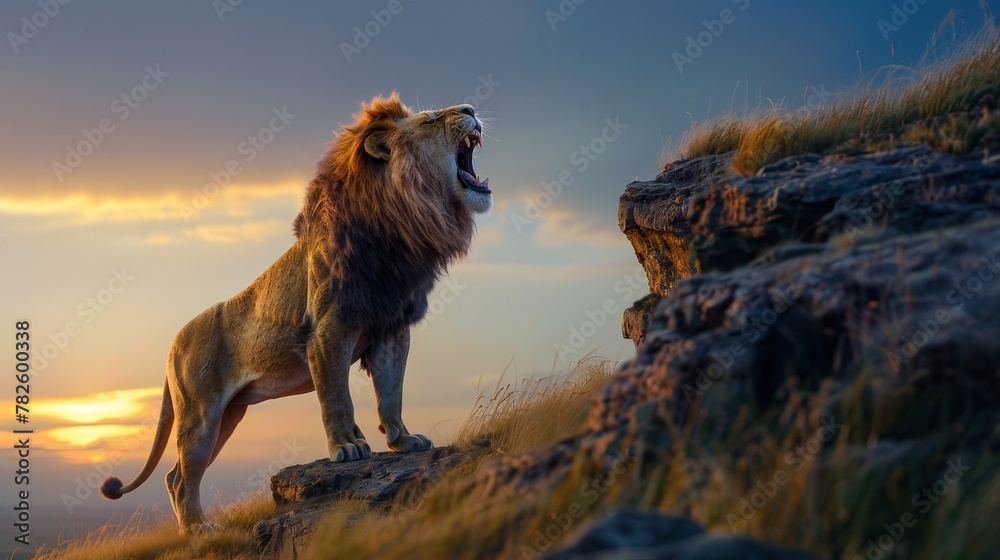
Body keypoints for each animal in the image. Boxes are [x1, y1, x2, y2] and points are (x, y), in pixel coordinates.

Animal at [99, 93, 492, 533]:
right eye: (431, 119)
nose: (471, 110)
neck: (396, 224)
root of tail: (171, 344)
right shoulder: (327, 331)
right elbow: (337, 399)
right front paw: (347, 447)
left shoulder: (392, 328)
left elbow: (392, 393)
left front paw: (402, 441)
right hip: (200, 417)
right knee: (183, 477)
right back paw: (199, 531)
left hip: (229, 415)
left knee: (173, 475)